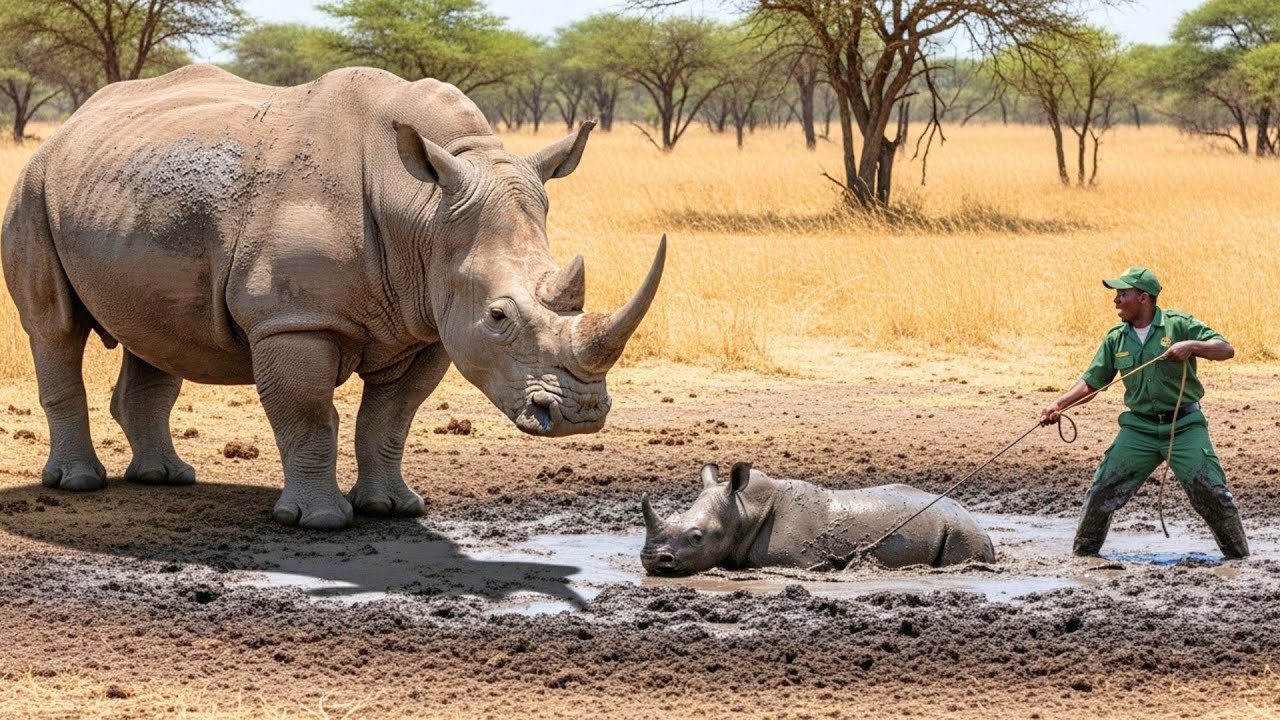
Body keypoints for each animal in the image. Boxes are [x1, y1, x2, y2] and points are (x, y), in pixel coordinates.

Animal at [2, 64, 665, 529]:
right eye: (498, 316)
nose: (581, 416)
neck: (425, 212)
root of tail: (70, 126)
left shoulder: (426, 322)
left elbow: (390, 420)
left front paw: (394, 508)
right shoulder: (294, 320)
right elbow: (310, 415)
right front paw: (318, 521)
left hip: (129, 193)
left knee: (159, 334)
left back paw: (166, 479)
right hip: (32, 187)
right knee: (54, 328)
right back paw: (79, 484)